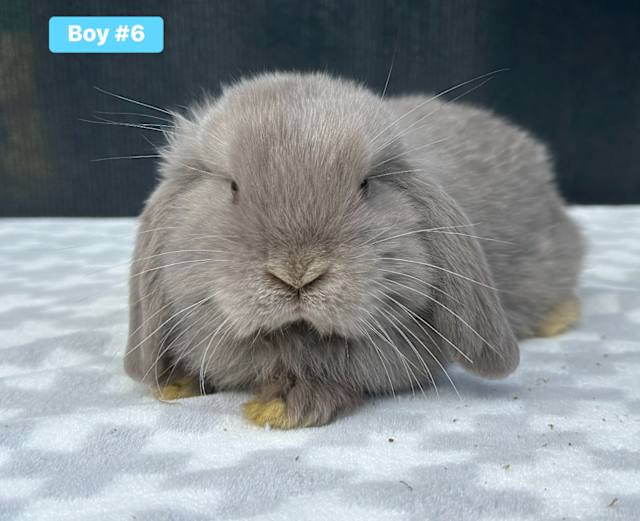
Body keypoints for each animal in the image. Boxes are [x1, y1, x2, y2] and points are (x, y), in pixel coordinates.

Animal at [124, 72, 584, 428]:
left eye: (366, 184)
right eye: (232, 186)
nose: (298, 273)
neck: (293, 334)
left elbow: (338, 373)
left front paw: (282, 407)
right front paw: (176, 381)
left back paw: (558, 317)